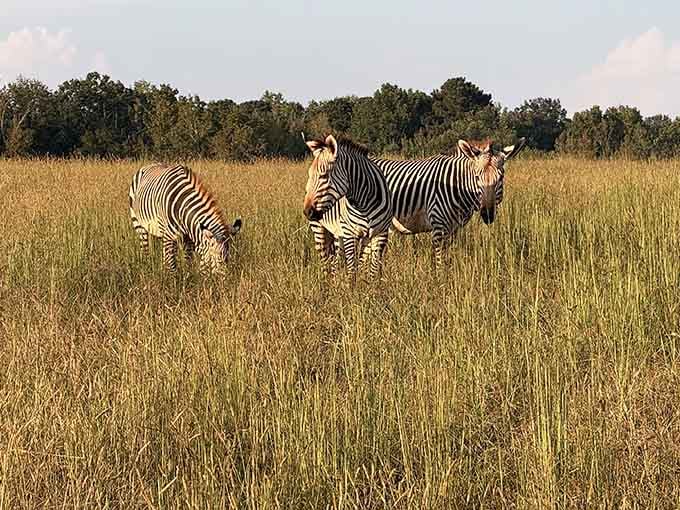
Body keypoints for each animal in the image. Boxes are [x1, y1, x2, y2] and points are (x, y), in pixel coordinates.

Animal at [303, 134, 392, 281]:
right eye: (310, 175)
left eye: (324, 175)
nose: (307, 212)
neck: (364, 203)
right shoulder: (350, 234)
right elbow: (352, 271)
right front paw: (352, 287)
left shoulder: (381, 234)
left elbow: (371, 271)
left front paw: (369, 287)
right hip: (320, 230)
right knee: (325, 264)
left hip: (338, 234)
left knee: (335, 263)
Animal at [317, 137, 526, 267]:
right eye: (476, 177)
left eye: (501, 178)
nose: (488, 215)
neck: (458, 186)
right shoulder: (439, 225)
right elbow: (441, 262)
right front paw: (442, 288)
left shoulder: (454, 229)